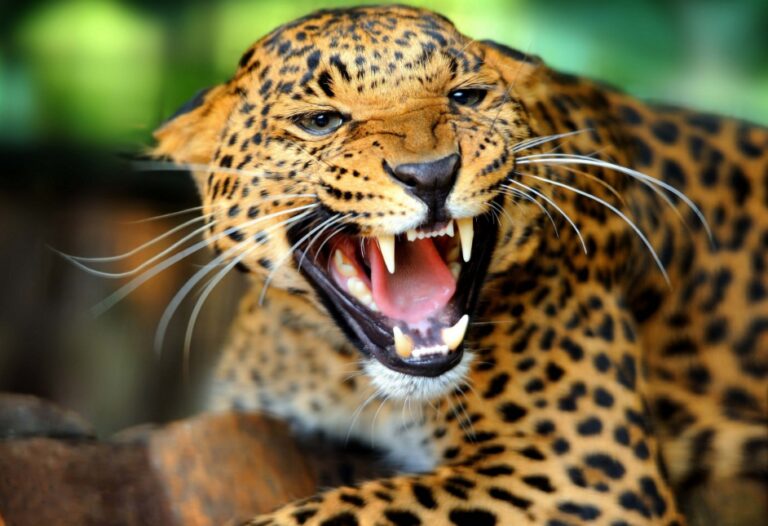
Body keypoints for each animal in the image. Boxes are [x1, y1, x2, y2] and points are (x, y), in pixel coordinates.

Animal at [151, 5, 768, 525]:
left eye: (467, 97)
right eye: (321, 121)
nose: (430, 174)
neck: (341, 372)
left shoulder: (582, 470)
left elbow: (338, 509)